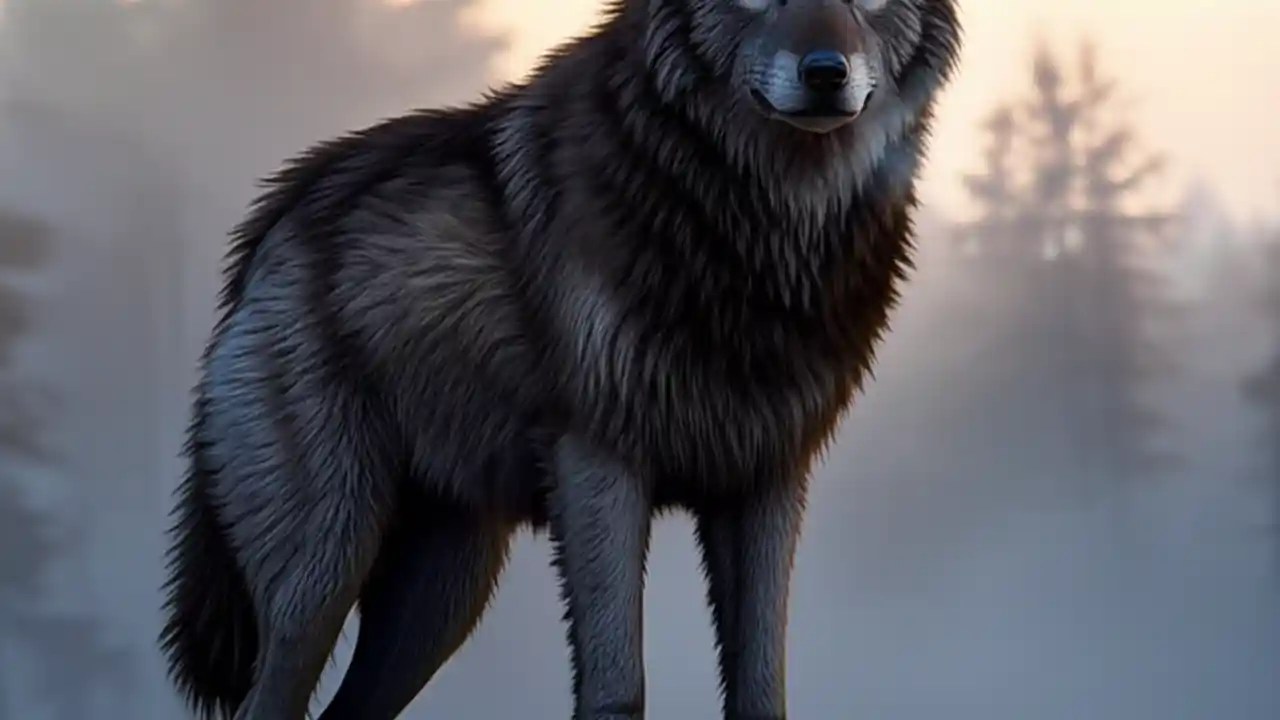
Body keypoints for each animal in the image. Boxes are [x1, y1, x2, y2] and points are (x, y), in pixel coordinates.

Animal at [159, 1, 961, 718]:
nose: (825, 73)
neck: (764, 229)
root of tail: (272, 220)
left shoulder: (769, 477)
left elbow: (762, 690)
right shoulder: (598, 460)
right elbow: (616, 685)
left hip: (440, 597)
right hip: (325, 565)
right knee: (271, 695)